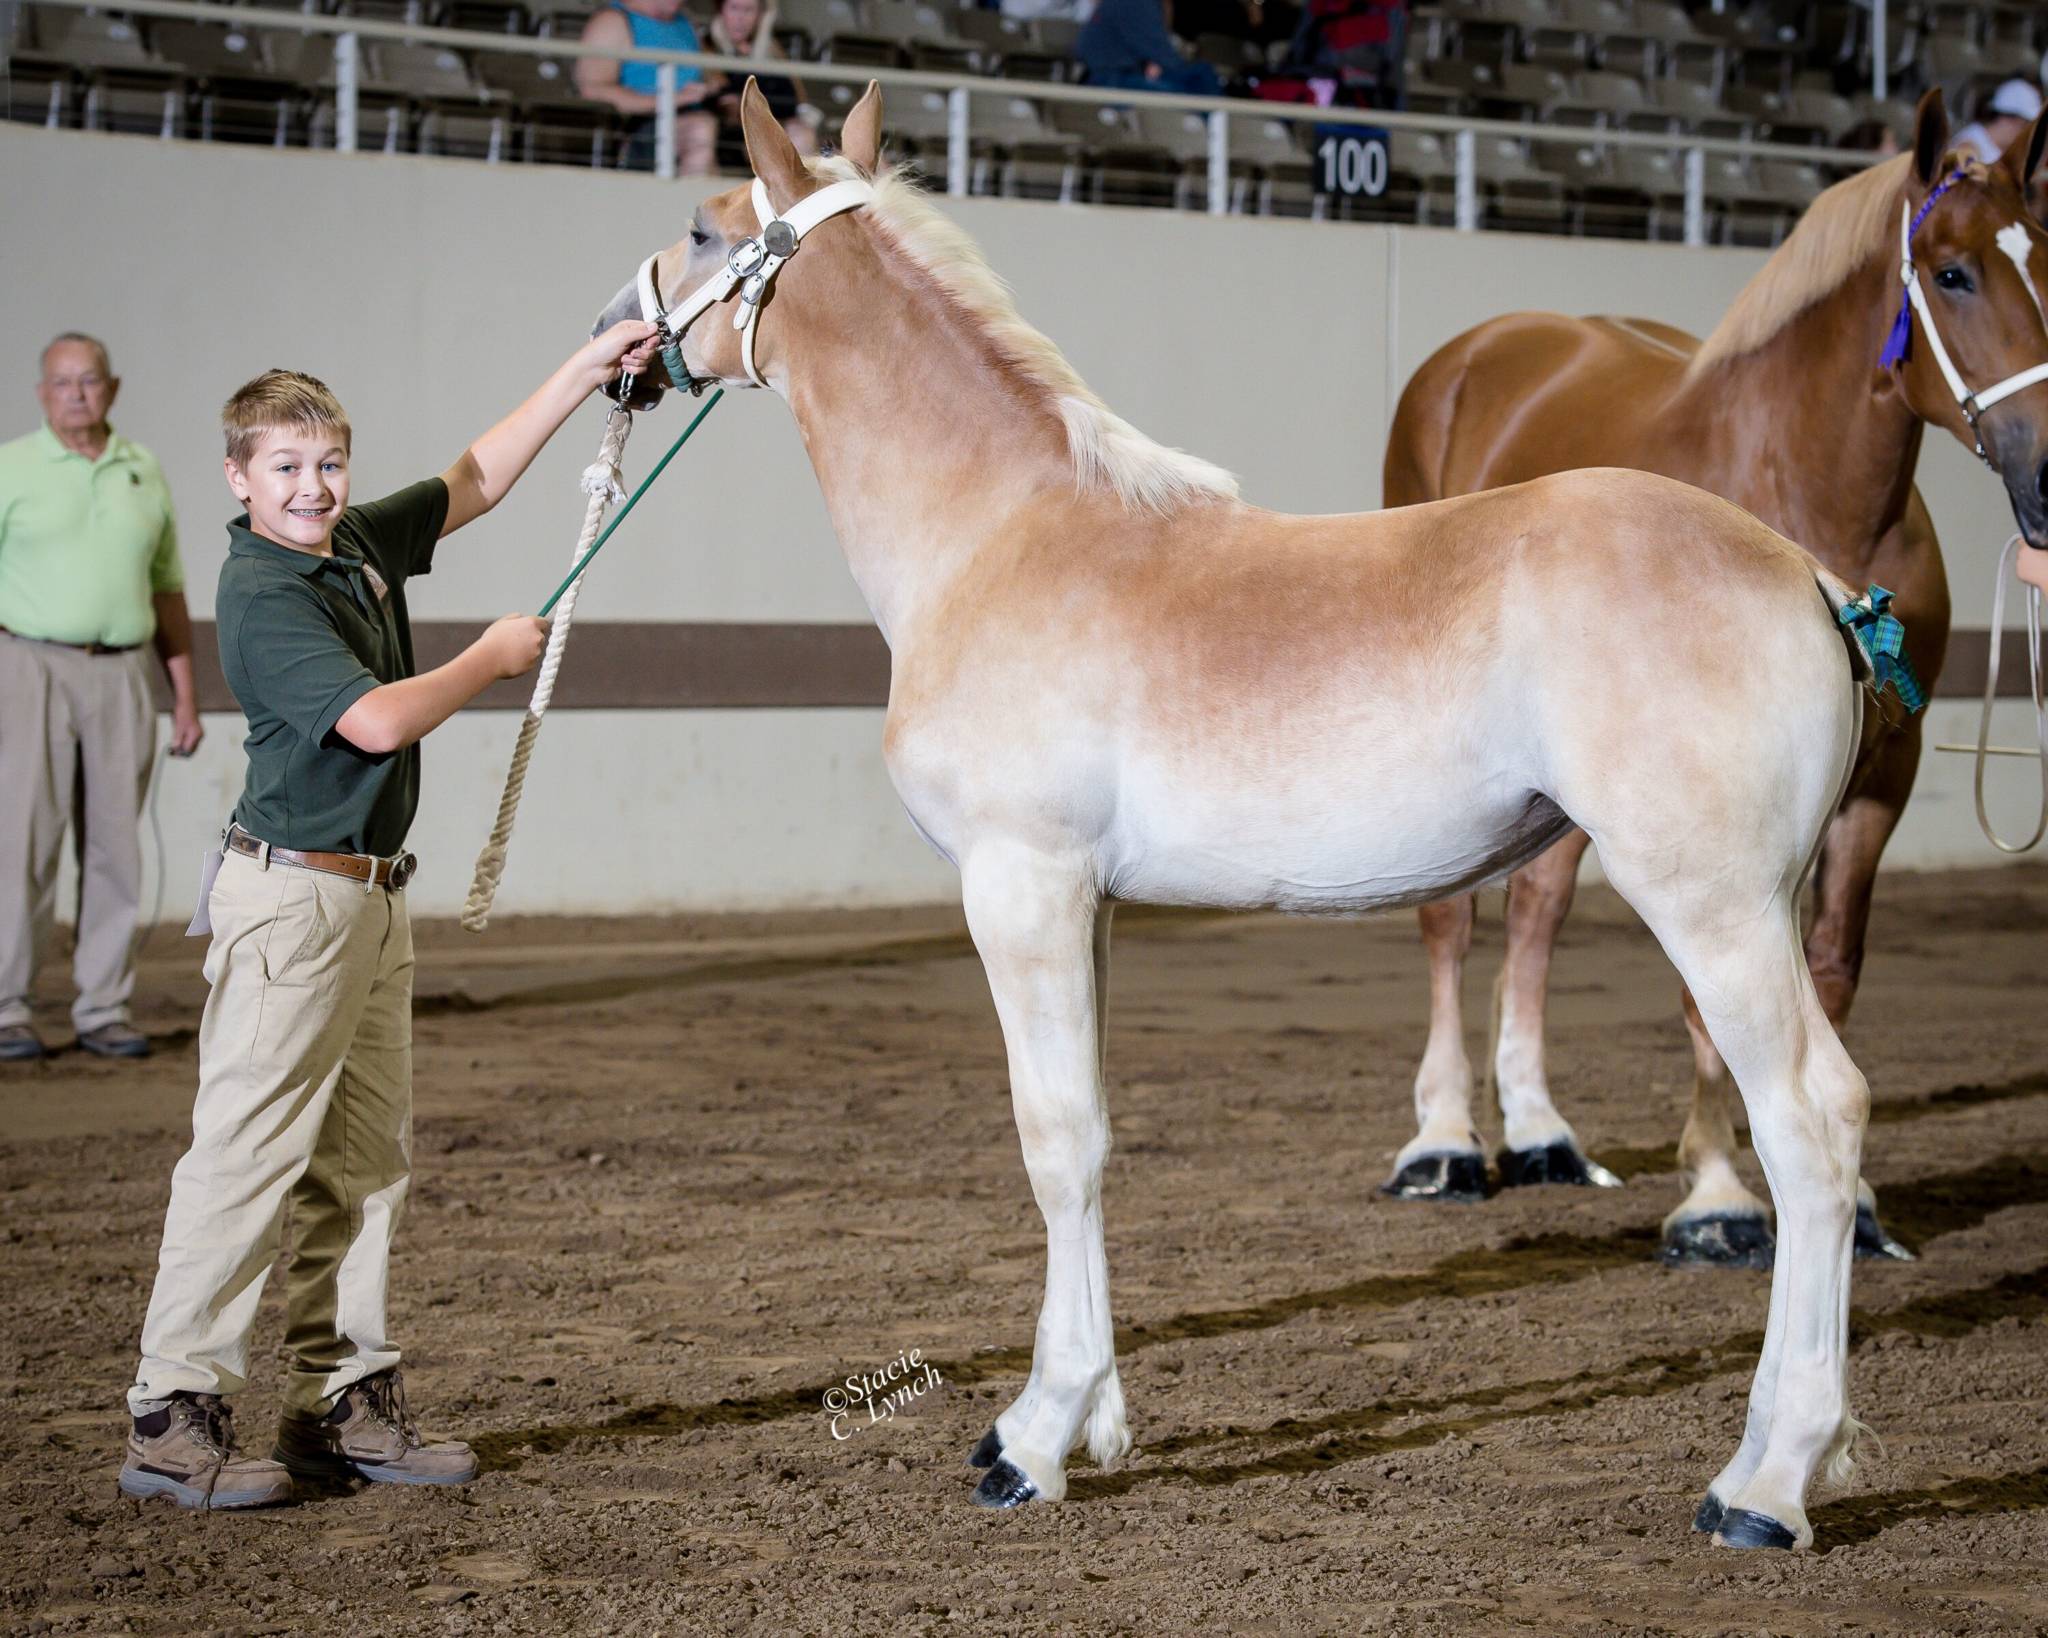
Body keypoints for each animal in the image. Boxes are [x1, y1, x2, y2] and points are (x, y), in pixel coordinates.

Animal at [597, 79, 1887, 1548]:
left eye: (707, 225)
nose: (617, 339)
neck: (1000, 537)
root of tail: (1806, 577)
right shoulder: (1085, 909)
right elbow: (1097, 1135)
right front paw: (1095, 1420)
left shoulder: (1018, 888)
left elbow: (1054, 1145)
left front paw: (1029, 1440)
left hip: (1712, 908)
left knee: (1810, 1129)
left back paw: (1765, 1484)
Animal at [1377, 89, 2048, 1269]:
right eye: (1955, 272)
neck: (1803, 495)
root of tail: (1473, 356)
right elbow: (1706, 1004)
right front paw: (1720, 1197)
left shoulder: (1883, 776)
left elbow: (1828, 972)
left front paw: (1849, 1203)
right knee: (1450, 922)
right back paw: (1447, 1143)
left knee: (1538, 906)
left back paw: (1541, 1133)